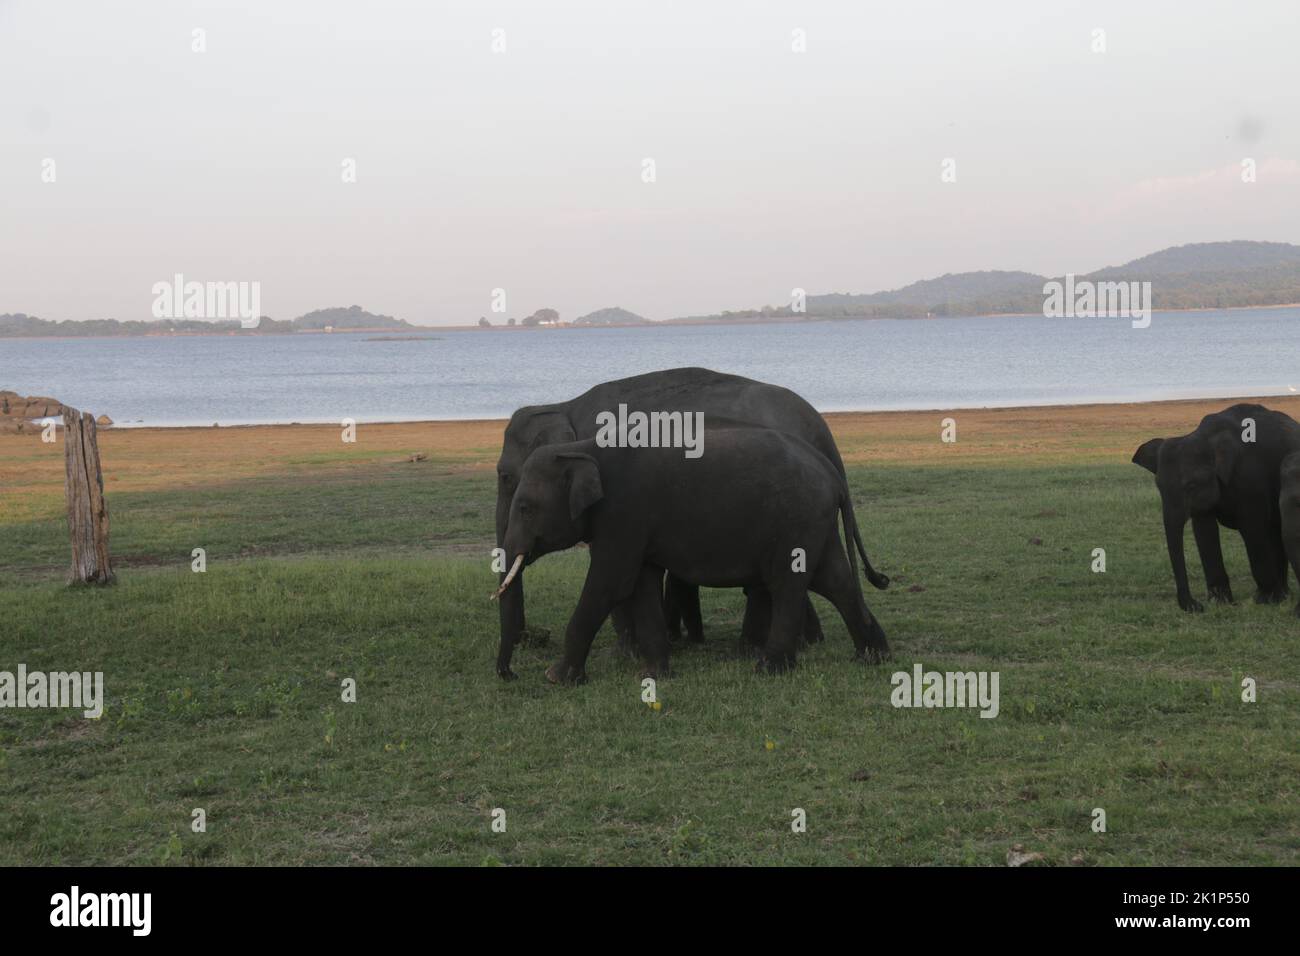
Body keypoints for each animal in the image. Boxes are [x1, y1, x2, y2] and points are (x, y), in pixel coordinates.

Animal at [493, 368, 888, 678]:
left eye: (507, 481)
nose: (510, 673)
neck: (566, 409)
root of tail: (828, 453)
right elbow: (638, 579)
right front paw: (651, 662)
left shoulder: (621, 513)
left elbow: (612, 580)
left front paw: (610, 659)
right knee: (830, 577)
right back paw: (862, 652)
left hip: (790, 516)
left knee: (784, 580)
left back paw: (763, 658)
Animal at [1132, 403, 1299, 612]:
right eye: (1159, 487)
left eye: (1191, 486)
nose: (1197, 606)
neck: (1205, 437)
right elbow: (1204, 530)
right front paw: (1221, 602)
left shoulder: (1250, 478)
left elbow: (1252, 527)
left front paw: (1265, 600)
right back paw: (1283, 594)